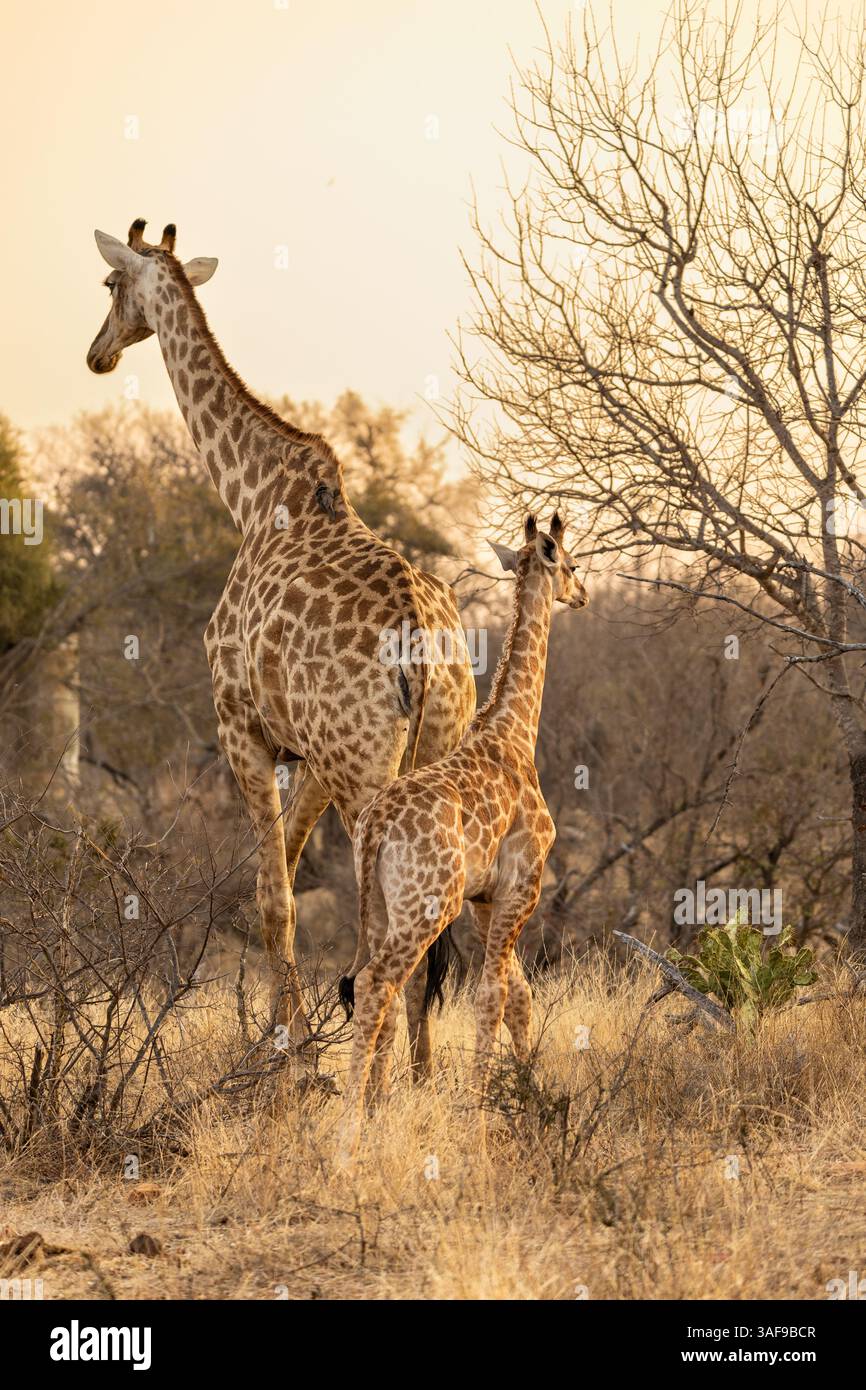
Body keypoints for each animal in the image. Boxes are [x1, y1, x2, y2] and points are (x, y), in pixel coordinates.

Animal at [86, 219, 476, 1058]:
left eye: (109, 284)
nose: (97, 353)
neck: (249, 494)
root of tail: (426, 649)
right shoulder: (313, 753)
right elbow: (289, 881)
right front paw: (284, 1034)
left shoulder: (242, 726)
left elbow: (272, 896)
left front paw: (286, 1054)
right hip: (434, 749)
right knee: (438, 927)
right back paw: (434, 1077)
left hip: (370, 774)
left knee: (392, 929)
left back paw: (373, 1074)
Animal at [336, 512, 588, 1158]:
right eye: (571, 563)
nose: (582, 594)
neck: (515, 730)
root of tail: (373, 829)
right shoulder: (522, 886)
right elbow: (492, 996)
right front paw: (481, 1119)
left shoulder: (484, 900)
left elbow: (519, 996)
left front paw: (533, 1100)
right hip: (428, 904)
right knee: (376, 982)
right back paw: (350, 1131)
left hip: (382, 907)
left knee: (381, 992)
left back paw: (373, 1112)